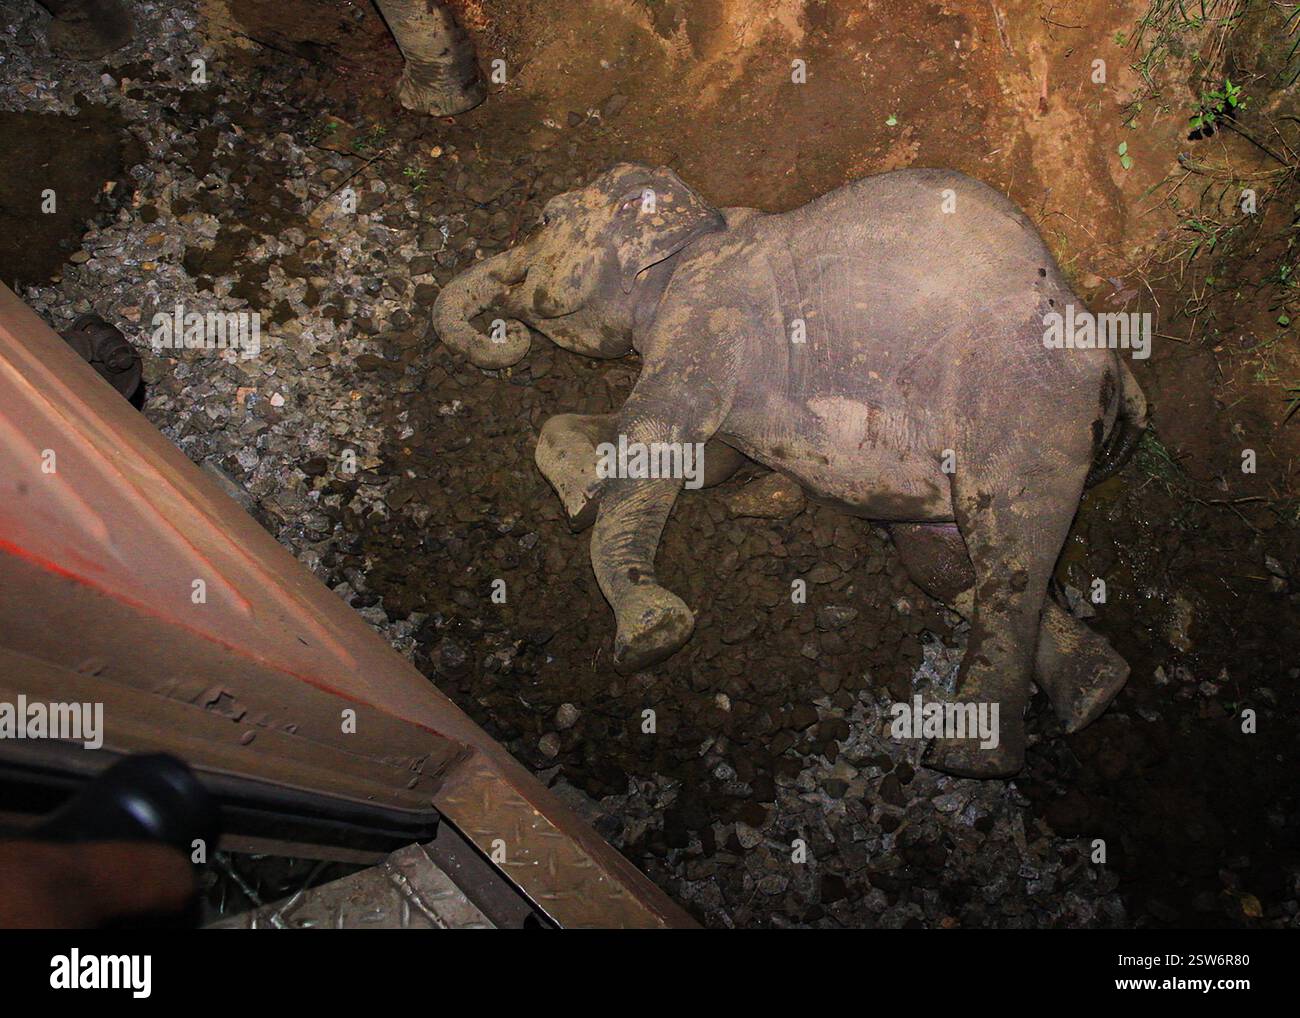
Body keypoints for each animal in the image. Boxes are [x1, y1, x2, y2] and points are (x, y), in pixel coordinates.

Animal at [432, 162, 1148, 778]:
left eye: (545, 219)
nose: (507, 330)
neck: (698, 225)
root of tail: (1116, 365)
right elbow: (704, 457)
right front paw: (582, 494)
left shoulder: (710, 304)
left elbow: (659, 433)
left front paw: (654, 634)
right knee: (941, 560)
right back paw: (1096, 692)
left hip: (1023, 404)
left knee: (1006, 546)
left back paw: (968, 758)